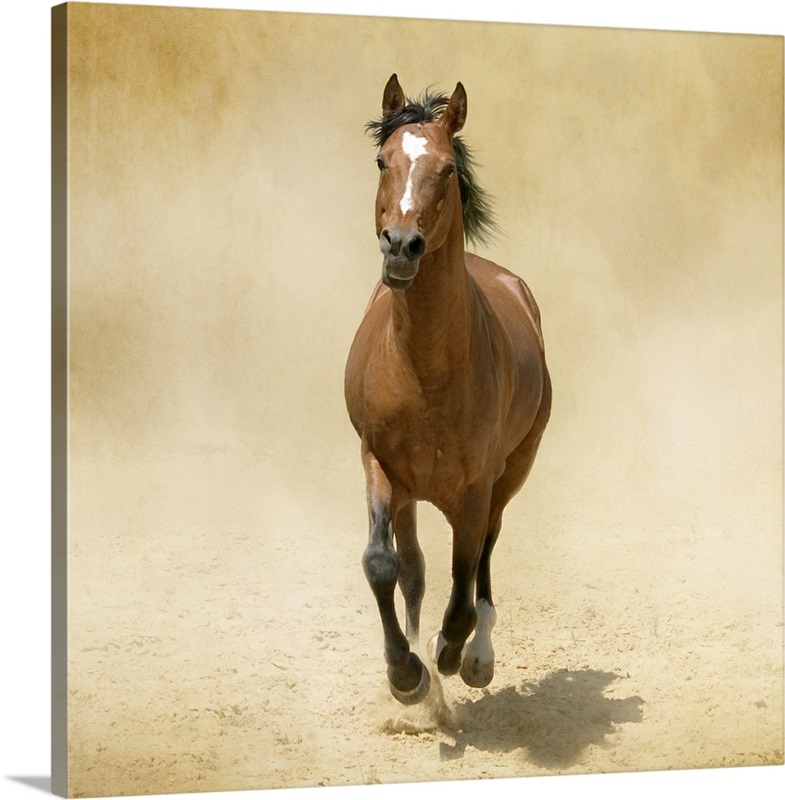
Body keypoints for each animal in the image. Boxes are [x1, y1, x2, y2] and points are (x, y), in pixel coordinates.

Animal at [344, 74, 551, 705]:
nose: (401, 244)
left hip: (513, 471)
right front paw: (406, 675)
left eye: (448, 169)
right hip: (412, 490)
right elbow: (383, 565)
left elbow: (462, 591)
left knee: (483, 557)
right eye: (382, 160)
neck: (426, 373)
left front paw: (451, 654)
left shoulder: (477, 485)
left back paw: (475, 657)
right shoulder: (378, 462)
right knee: (413, 569)